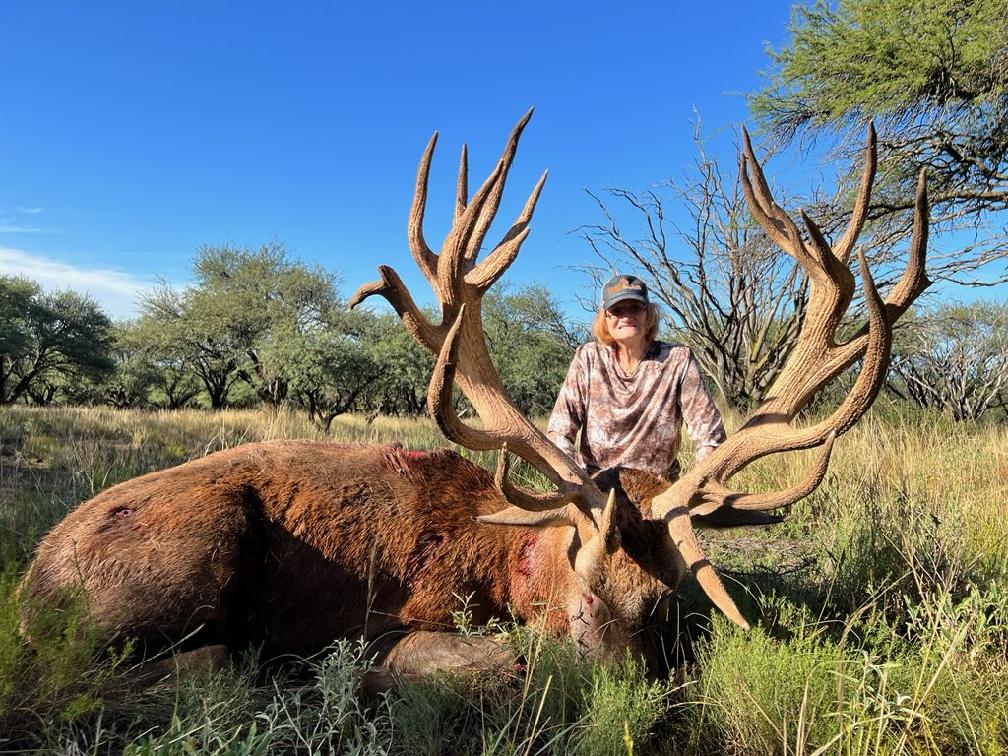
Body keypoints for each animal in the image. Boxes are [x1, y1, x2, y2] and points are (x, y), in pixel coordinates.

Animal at [19, 111, 929, 685]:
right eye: (581, 585)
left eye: (658, 605)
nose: (612, 685)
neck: (499, 552)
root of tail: (33, 585)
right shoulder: (406, 612)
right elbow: (492, 657)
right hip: (191, 550)